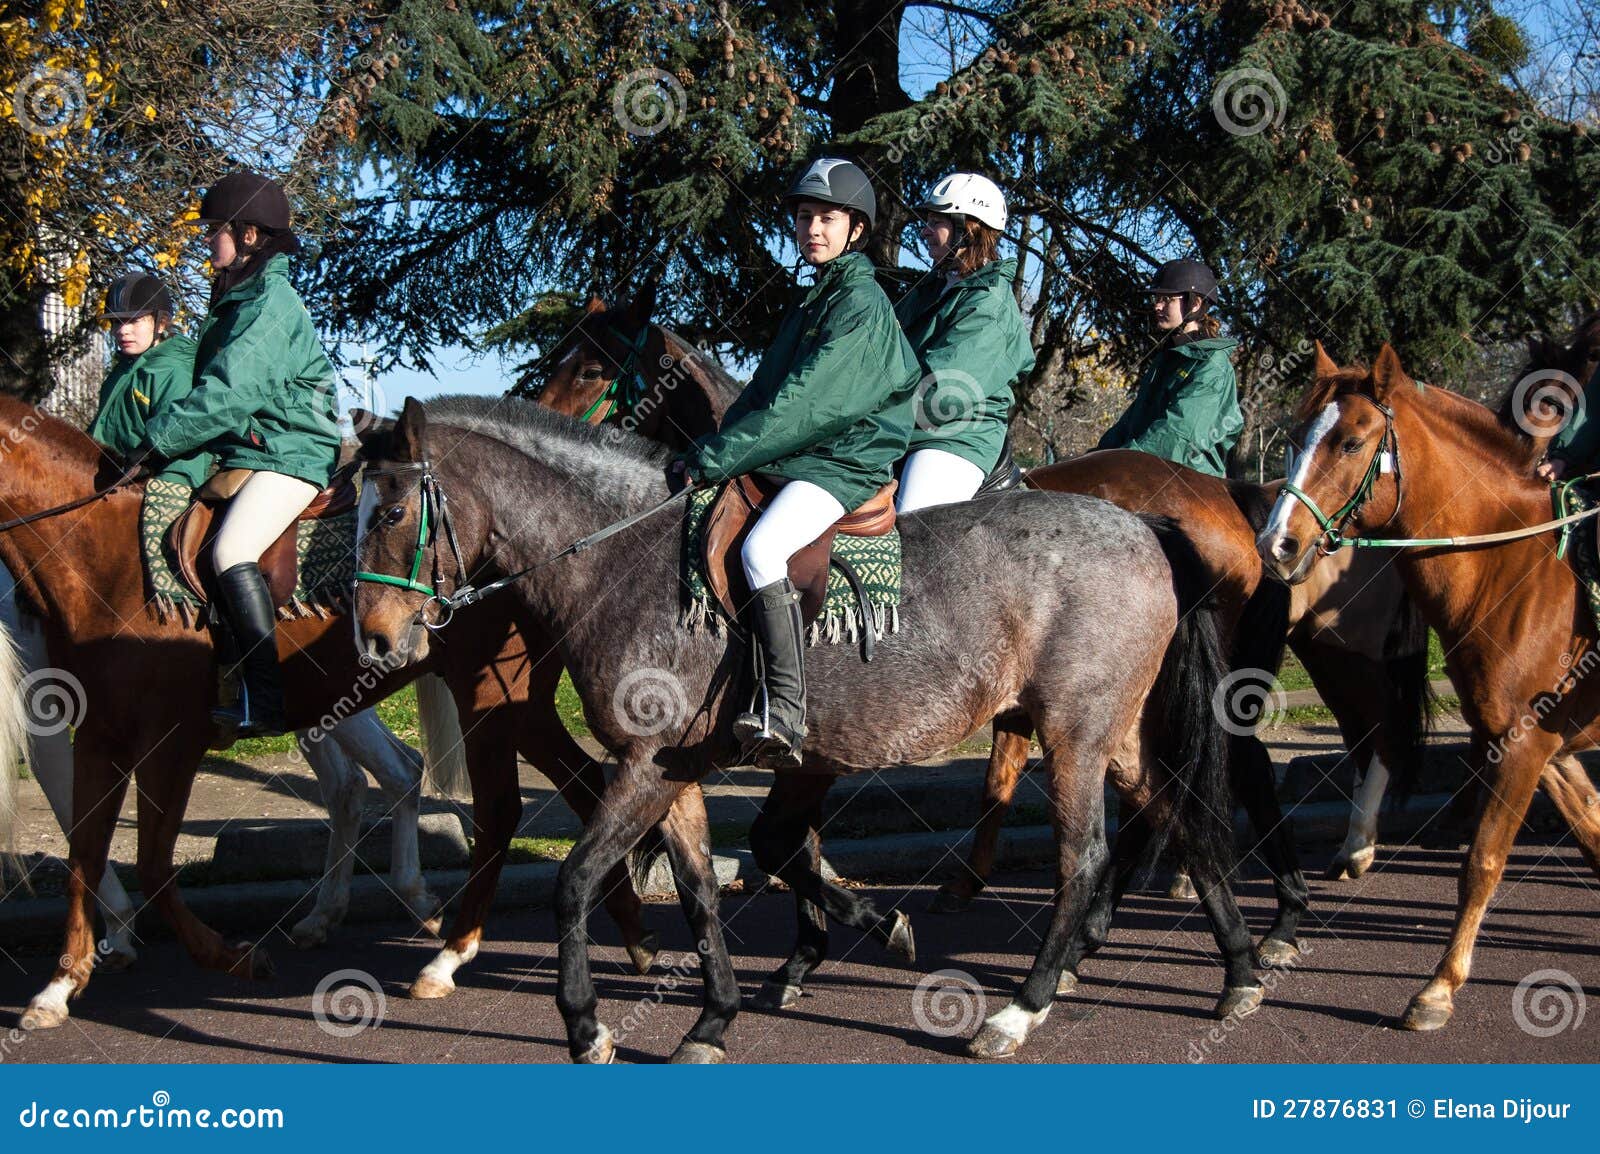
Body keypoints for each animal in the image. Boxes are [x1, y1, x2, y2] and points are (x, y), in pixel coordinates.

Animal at [0, 396, 657, 1029]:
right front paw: (59, 986)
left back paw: (448, 954)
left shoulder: (171, 742)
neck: (102, 558)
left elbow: (154, 864)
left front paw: (231, 956)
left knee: (496, 808)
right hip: (519, 705)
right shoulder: (98, 737)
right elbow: (84, 853)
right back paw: (632, 932)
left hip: (490, 698)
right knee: (581, 781)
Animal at [353, 394, 1259, 1062]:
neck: (626, 559)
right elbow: (700, 890)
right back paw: (1241, 970)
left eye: (391, 511)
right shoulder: (674, 771)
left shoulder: (644, 765)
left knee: (1087, 859)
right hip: (1118, 735)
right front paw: (714, 1018)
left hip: (1074, 733)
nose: (374, 641)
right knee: (1183, 818)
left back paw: (1020, 1010)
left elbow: (576, 882)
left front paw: (586, 1025)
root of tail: (1145, 526)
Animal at [1257, 342, 1600, 1031]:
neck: (1517, 572)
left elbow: (1483, 861)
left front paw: (1439, 986)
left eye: (1351, 441)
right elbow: (1594, 833)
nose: (1277, 543)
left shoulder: (1524, 746)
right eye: (1296, 437)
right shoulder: (1544, 749)